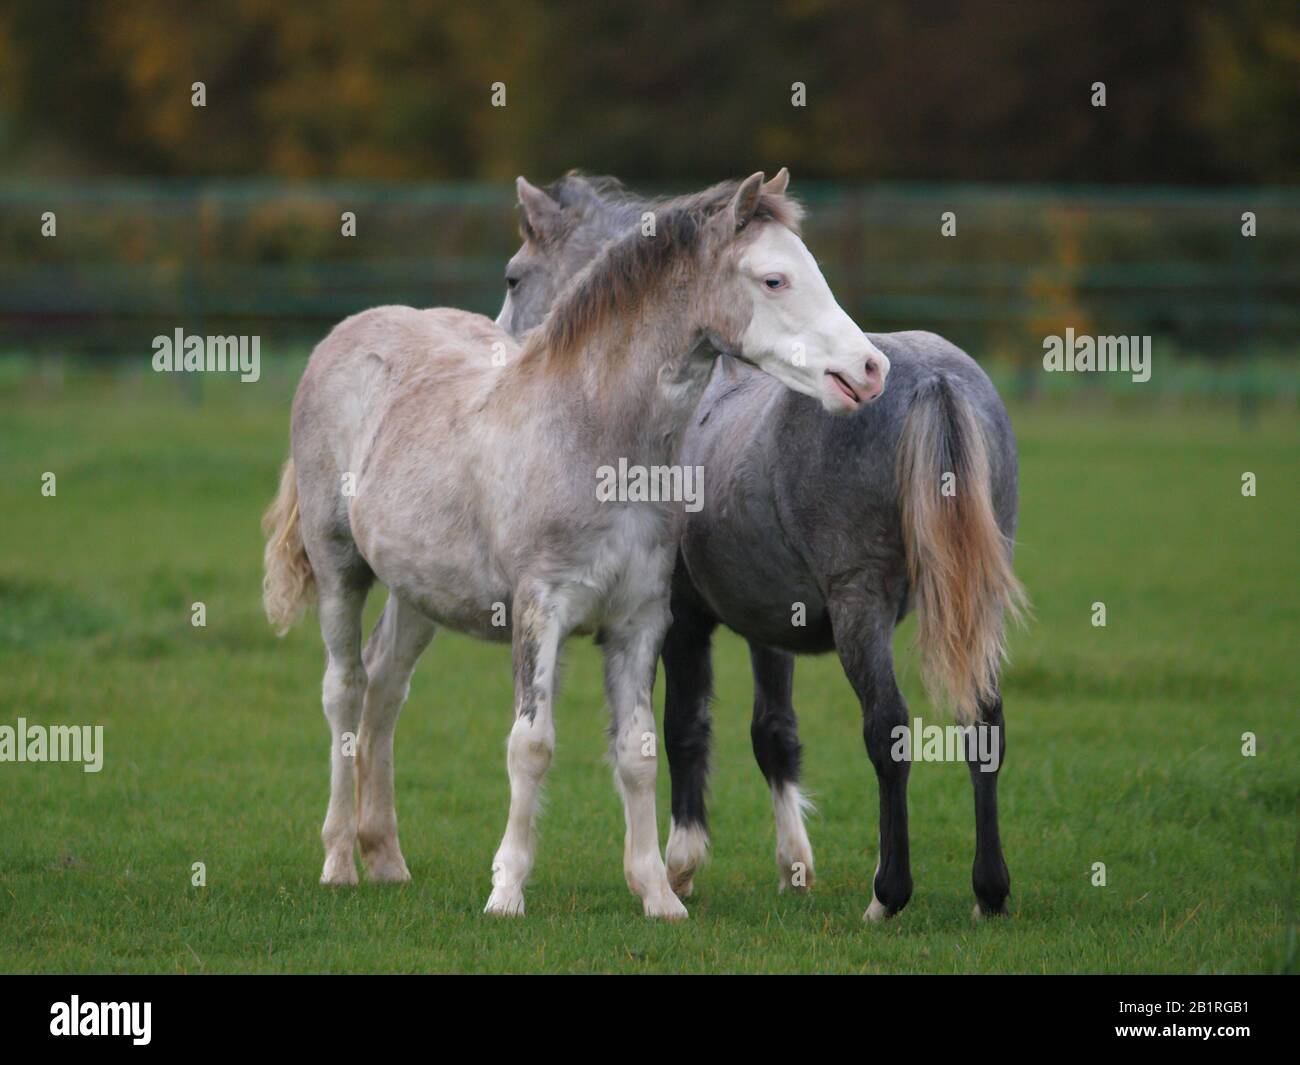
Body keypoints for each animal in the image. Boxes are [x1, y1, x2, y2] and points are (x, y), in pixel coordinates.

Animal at [261, 171, 889, 919]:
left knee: (385, 685)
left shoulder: (639, 622)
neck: (593, 435)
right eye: (774, 279)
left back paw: (385, 855)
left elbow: (639, 752)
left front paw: (658, 892)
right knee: (345, 691)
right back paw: (338, 860)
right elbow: (531, 745)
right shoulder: (541, 611)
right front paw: (506, 890)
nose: (870, 368)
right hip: (339, 566)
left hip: (418, 592)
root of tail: (346, 333)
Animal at [499, 173, 1027, 920]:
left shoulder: (682, 618)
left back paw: (887, 893)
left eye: (515, 277)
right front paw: (794, 864)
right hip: (970, 602)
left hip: (862, 609)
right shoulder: (770, 624)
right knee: (983, 721)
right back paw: (989, 890)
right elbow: (775, 733)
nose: (510, 354)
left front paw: (681, 864)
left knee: (889, 729)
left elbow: (684, 727)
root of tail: (934, 379)